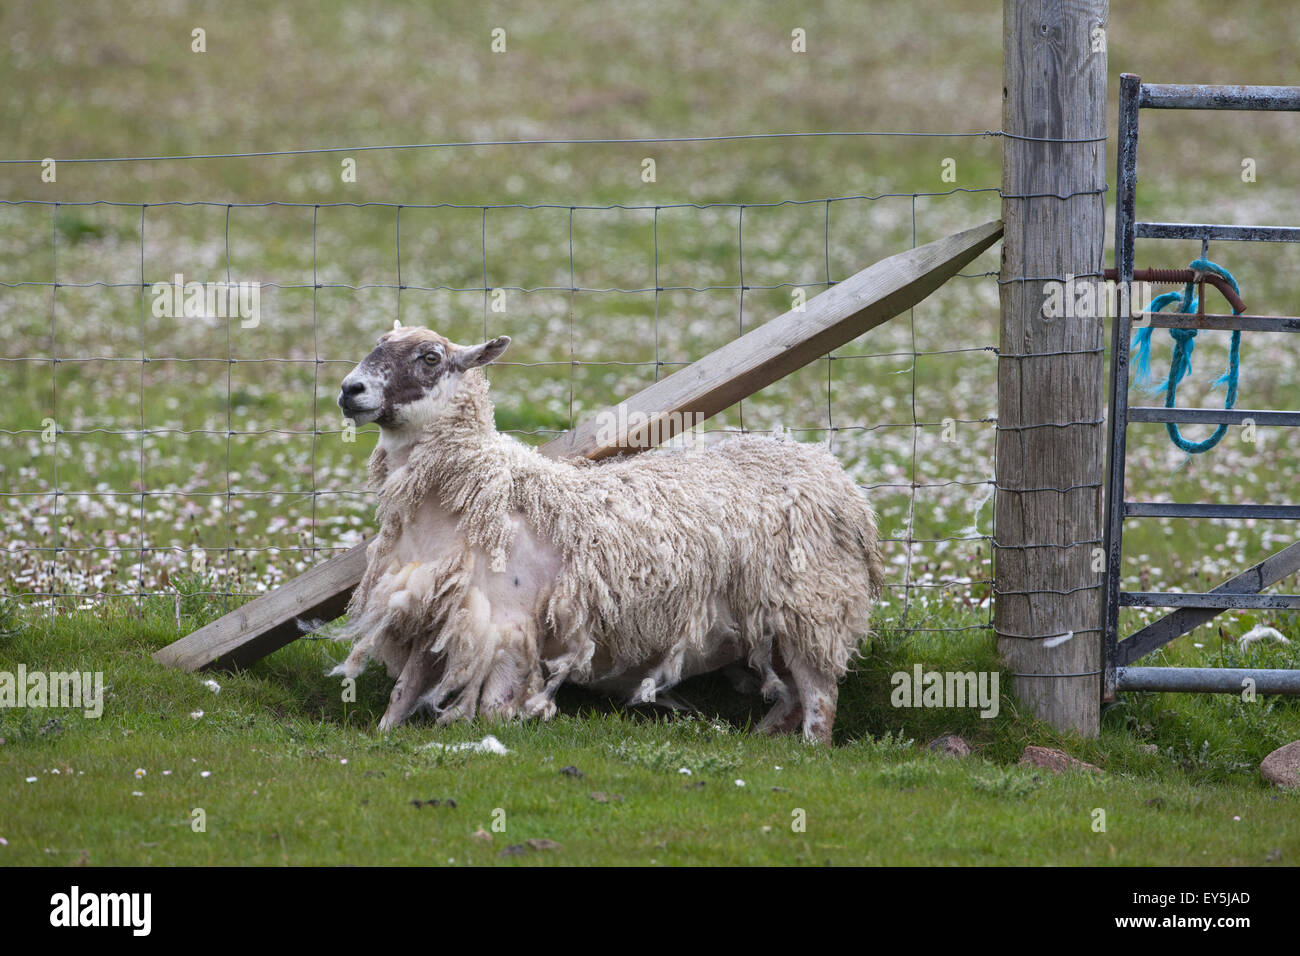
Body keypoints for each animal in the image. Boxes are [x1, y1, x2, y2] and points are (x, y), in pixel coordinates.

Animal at [331, 324, 885, 744]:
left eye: (430, 358)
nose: (349, 390)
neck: (476, 489)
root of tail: (838, 478)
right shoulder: (435, 606)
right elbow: (403, 690)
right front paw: (383, 735)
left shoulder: (509, 623)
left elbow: (490, 709)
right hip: (776, 620)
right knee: (791, 697)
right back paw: (764, 741)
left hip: (814, 605)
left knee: (820, 696)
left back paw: (810, 751)